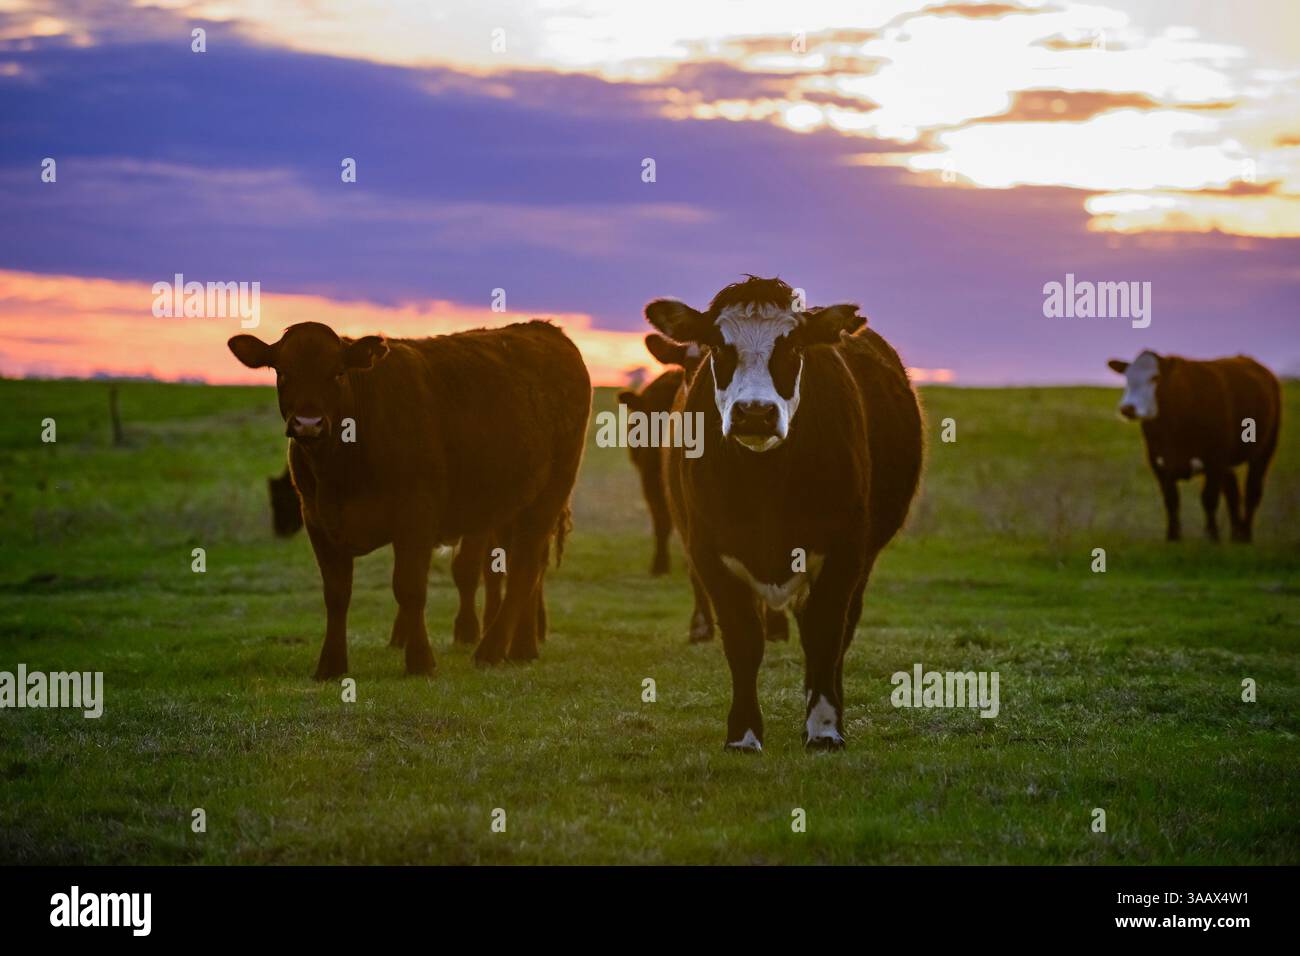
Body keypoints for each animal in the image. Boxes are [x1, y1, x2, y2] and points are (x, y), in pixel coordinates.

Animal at [228, 320, 590, 678]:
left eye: (337, 372)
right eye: (283, 372)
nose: (308, 424)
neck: (341, 467)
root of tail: (545, 329)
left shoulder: (416, 516)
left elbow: (411, 588)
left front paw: (420, 660)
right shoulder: (318, 520)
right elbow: (336, 593)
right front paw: (331, 665)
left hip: (548, 496)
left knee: (523, 569)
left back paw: (490, 649)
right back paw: (522, 648)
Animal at [646, 276, 923, 751]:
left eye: (792, 347)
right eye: (719, 346)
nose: (754, 412)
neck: (766, 482)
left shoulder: (845, 549)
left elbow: (825, 633)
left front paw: (825, 727)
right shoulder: (708, 550)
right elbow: (743, 638)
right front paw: (742, 733)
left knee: (840, 631)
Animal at [1108, 351, 1281, 542]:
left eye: (1155, 377)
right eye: (1127, 377)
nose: (1127, 408)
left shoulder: (1215, 460)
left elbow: (1209, 499)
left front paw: (1212, 538)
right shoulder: (1159, 462)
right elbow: (1171, 500)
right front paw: (1173, 538)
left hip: (1264, 450)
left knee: (1252, 492)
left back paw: (1245, 537)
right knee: (1232, 491)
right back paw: (1235, 537)